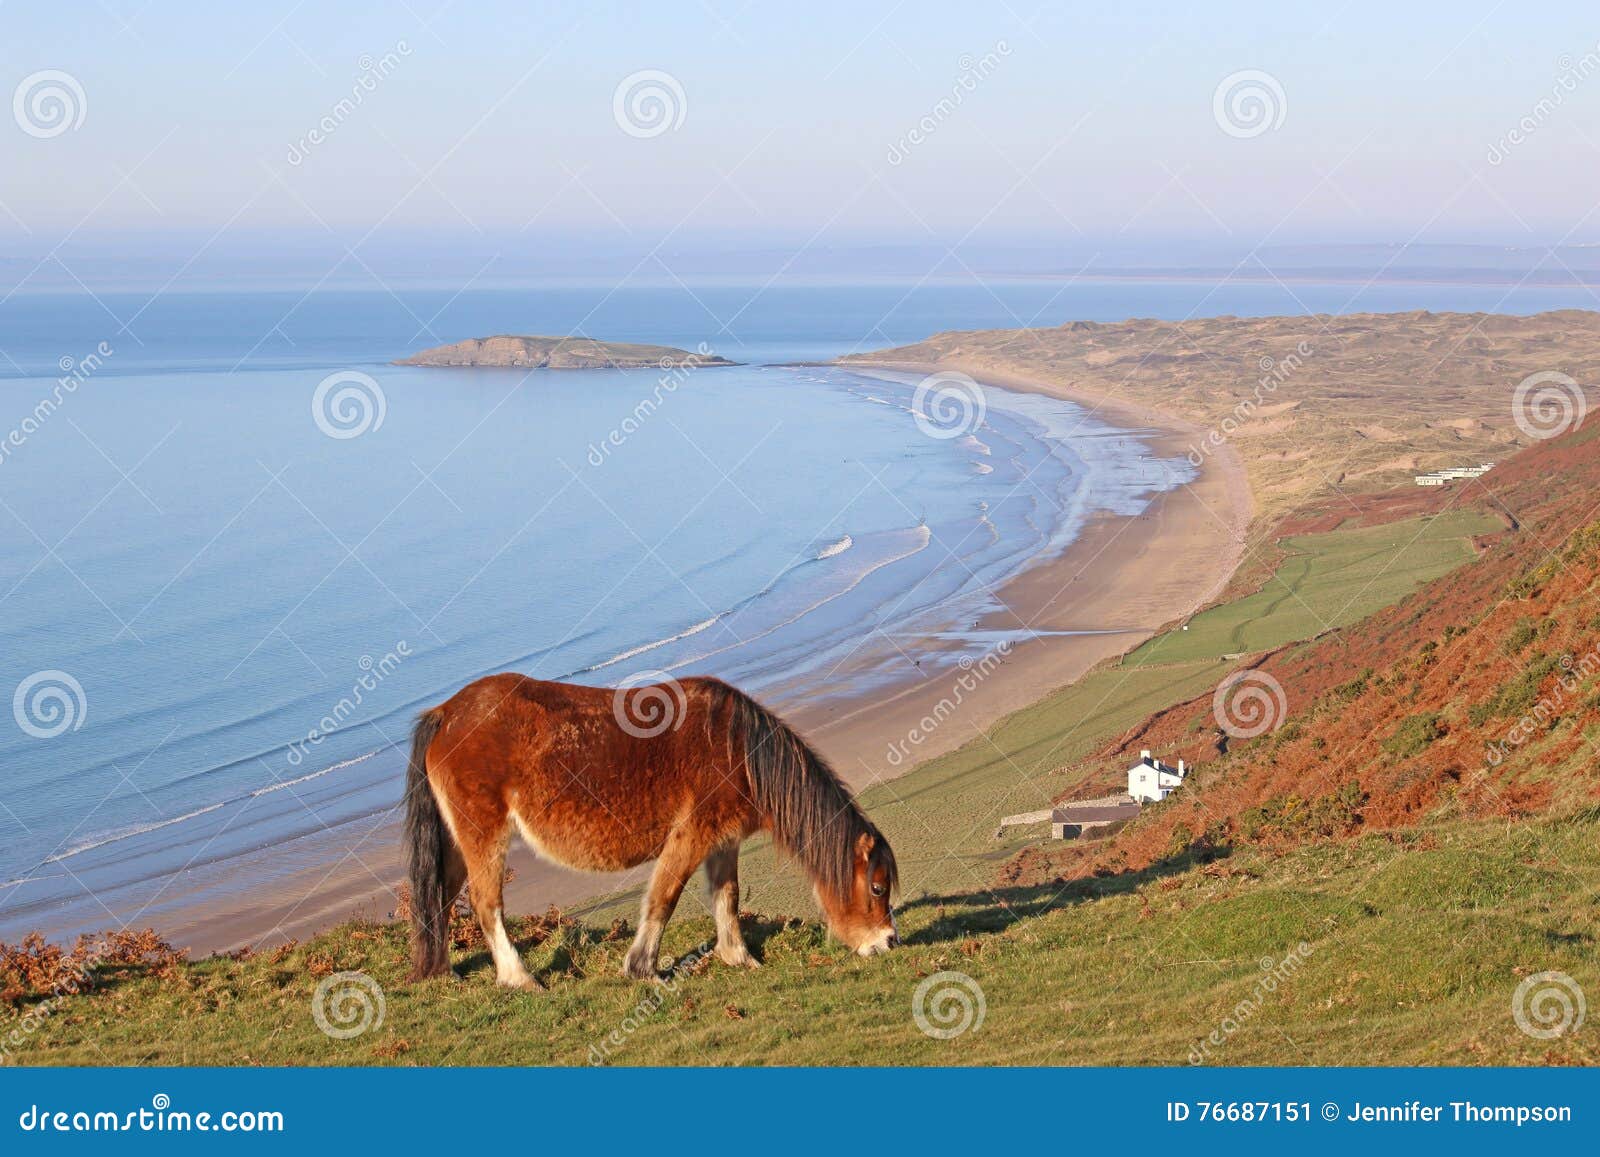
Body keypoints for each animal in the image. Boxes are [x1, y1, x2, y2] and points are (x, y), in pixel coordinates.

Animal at [403, 672, 899, 988]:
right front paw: (642, 968)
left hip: (457, 845)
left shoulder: (723, 842)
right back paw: (519, 979)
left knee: (442, 899)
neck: (739, 749)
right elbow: (664, 898)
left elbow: (727, 896)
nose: (889, 942)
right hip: (485, 837)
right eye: (877, 888)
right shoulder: (691, 837)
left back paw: (445, 971)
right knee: (487, 905)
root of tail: (446, 713)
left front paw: (738, 958)